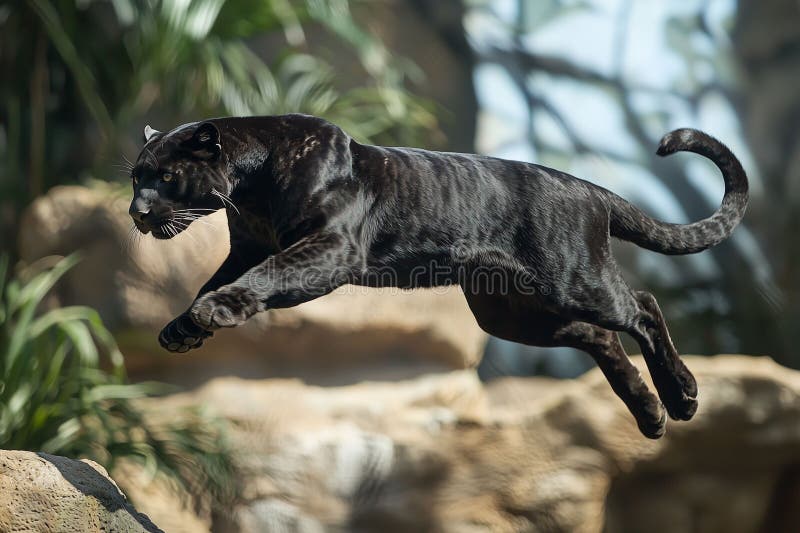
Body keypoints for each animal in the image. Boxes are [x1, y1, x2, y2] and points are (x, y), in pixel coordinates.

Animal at [129, 114, 748, 438]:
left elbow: (265, 276)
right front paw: (183, 328)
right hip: (513, 315)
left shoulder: (331, 249)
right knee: (600, 337)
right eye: (135, 175)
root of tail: (588, 187)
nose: (136, 211)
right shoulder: (245, 249)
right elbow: (215, 279)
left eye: (165, 176)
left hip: (576, 282)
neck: (249, 186)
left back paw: (683, 396)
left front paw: (212, 314)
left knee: (642, 306)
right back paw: (651, 416)